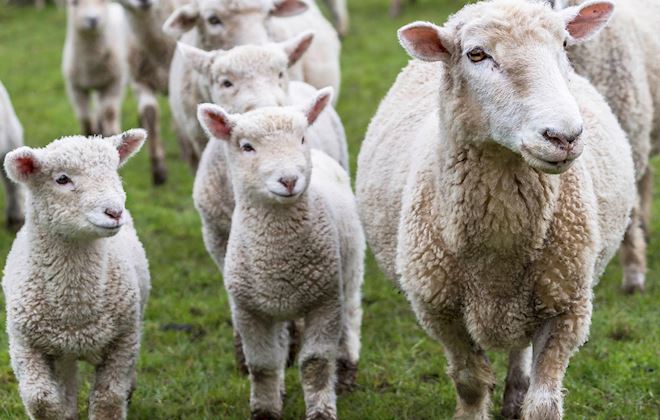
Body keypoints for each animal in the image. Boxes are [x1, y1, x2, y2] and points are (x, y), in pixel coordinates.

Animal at [2, 129, 150, 420]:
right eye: (62, 179)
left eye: (114, 171)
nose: (114, 212)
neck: (75, 310)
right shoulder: (24, 345)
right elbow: (41, 400)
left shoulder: (123, 340)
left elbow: (108, 400)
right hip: (62, 352)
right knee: (67, 385)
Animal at [62, 0, 129, 137]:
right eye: (74, 3)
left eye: (102, 1)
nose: (93, 19)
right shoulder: (76, 87)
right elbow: (84, 116)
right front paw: (90, 132)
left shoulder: (114, 81)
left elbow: (109, 111)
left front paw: (111, 133)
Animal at [196, 87, 364, 419]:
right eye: (246, 147)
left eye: (302, 138)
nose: (288, 180)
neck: (278, 254)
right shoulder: (249, 310)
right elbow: (262, 365)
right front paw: (266, 409)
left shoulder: (325, 302)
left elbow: (315, 363)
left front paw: (321, 411)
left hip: (351, 267)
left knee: (352, 314)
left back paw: (346, 370)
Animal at [355, 1, 635, 418]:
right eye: (476, 54)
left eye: (564, 44)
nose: (564, 136)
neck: (498, 255)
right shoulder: (441, 313)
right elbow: (470, 381)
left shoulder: (566, 306)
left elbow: (544, 403)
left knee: (519, 346)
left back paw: (515, 391)